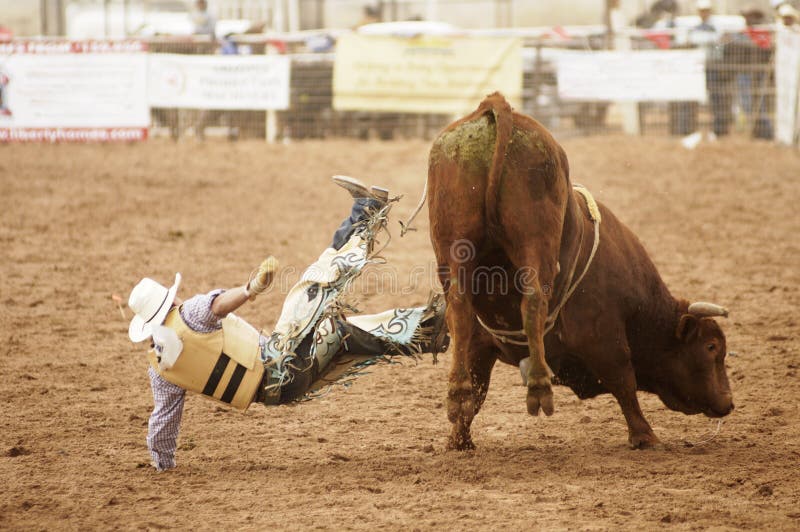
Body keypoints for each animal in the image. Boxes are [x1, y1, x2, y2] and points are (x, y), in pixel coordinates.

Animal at [425, 92, 733, 451]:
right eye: (711, 347)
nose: (729, 402)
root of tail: (495, 106)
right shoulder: (606, 338)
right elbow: (624, 382)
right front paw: (645, 435)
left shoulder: (479, 344)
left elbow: (476, 392)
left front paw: (458, 439)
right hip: (536, 240)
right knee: (533, 302)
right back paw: (539, 387)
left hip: (454, 247)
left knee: (459, 310)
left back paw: (457, 395)